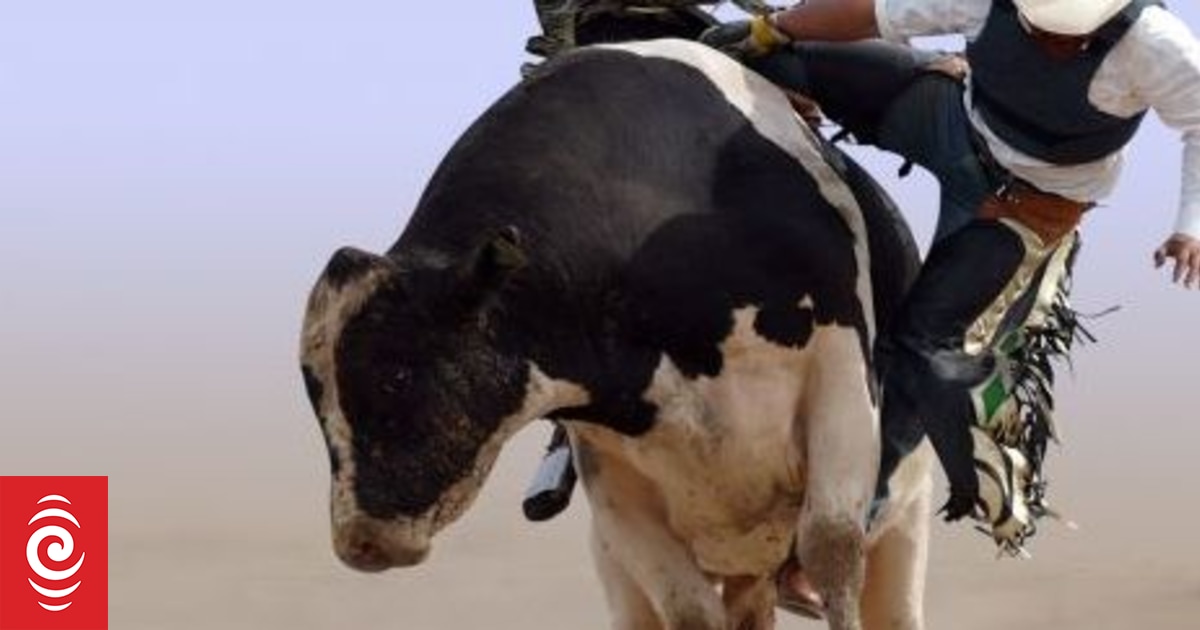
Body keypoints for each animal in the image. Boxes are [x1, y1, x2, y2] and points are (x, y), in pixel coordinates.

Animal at [300, 38, 935, 630]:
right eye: (316, 397)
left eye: (396, 373)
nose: (362, 541)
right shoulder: (612, 477)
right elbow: (689, 609)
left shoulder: (839, 375)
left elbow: (831, 546)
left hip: (902, 525)